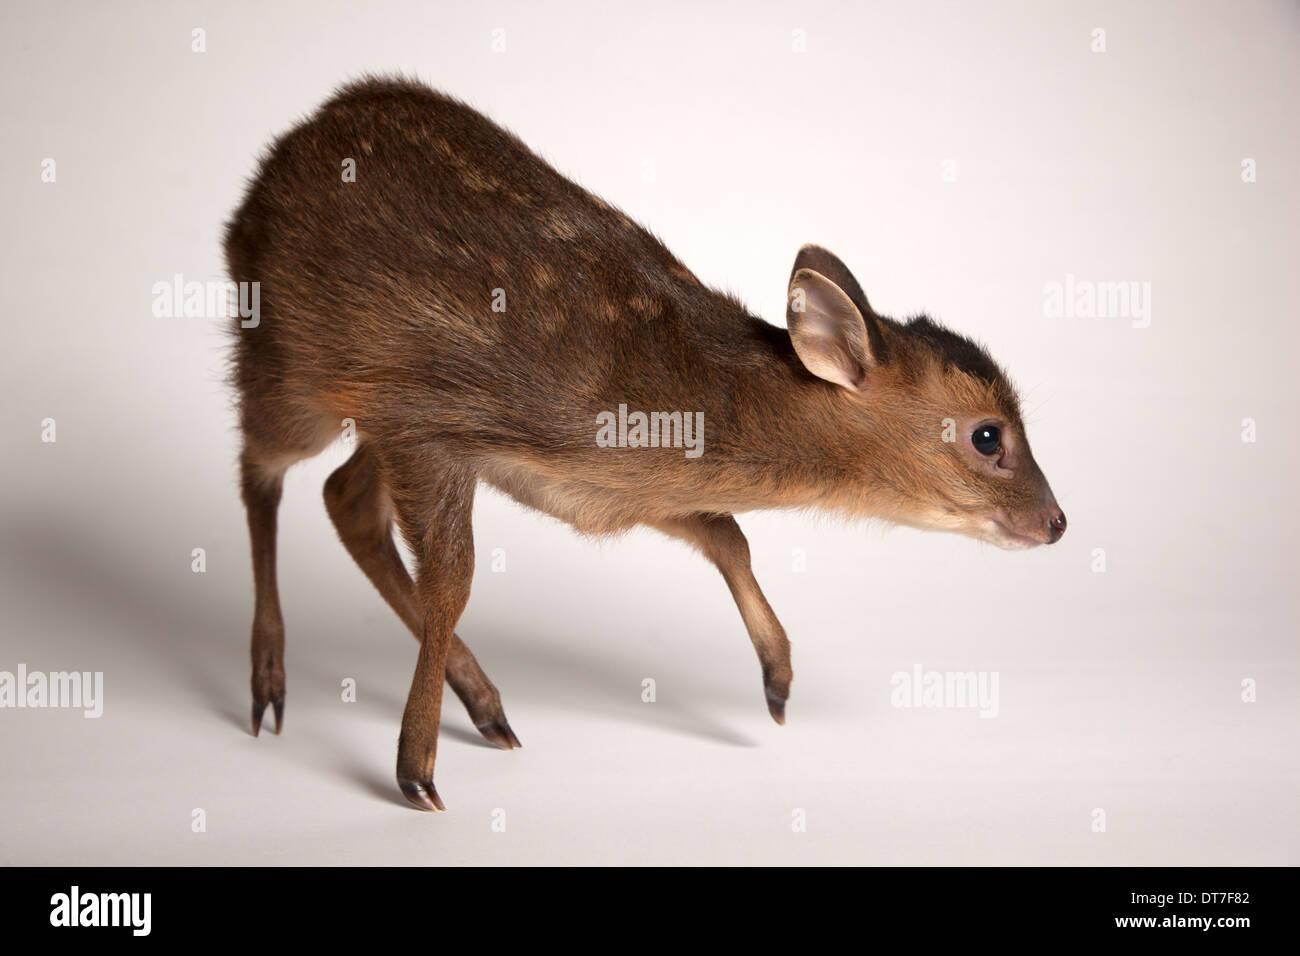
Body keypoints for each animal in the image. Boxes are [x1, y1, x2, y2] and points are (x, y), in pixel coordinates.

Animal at [224, 77, 1066, 811]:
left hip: (356, 406)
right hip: (284, 353)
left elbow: (727, 534)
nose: (1057, 522)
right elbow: (453, 583)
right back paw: (269, 684)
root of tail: (262, 178)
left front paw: (777, 682)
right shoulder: (430, 418)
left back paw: (485, 705)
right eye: (987, 436)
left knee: (343, 497)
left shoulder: (606, 489)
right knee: (260, 470)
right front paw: (415, 771)